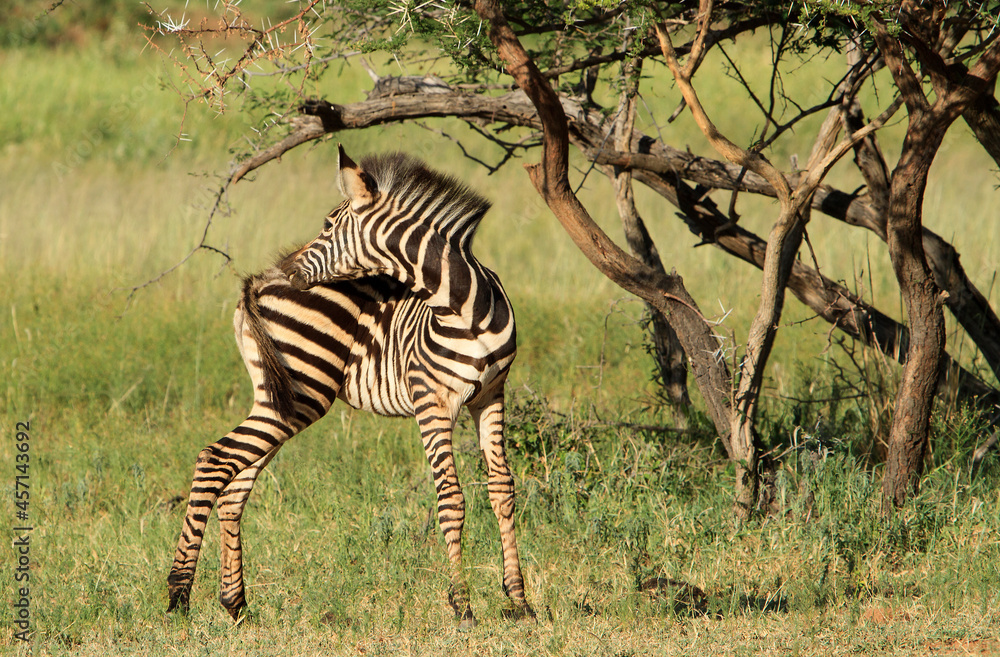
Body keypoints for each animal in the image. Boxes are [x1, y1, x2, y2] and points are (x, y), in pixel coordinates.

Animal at [167, 146, 534, 628]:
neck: (464, 309)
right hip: (306, 389)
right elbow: (451, 499)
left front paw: (519, 600)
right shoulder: (431, 400)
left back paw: (235, 603)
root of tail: (259, 280)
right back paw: (179, 596)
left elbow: (502, 489)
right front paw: (462, 606)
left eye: (327, 225)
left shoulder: (492, 395)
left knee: (234, 481)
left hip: (282, 398)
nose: (290, 268)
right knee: (215, 460)